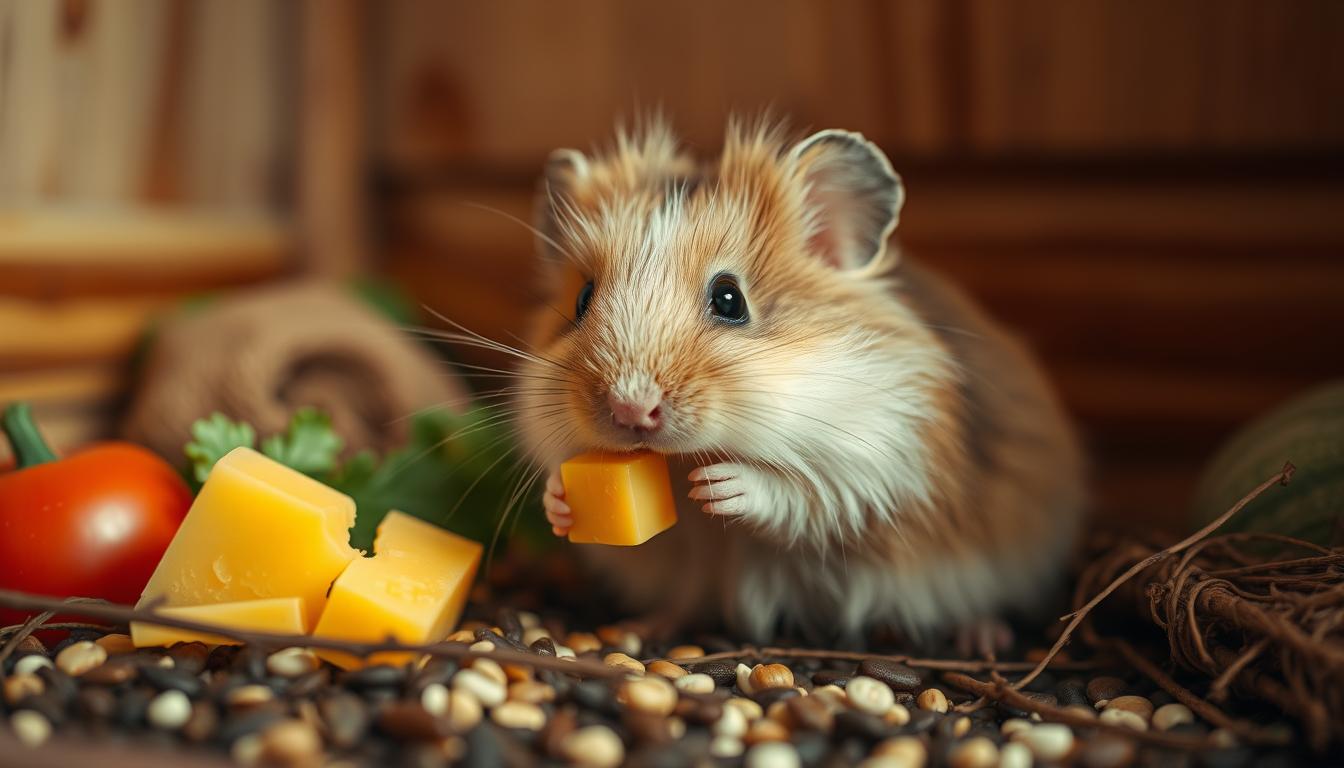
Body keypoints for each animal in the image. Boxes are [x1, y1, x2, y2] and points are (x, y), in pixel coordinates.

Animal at [513, 118, 1085, 650]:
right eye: (583, 299)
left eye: (730, 299)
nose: (631, 409)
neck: (679, 463)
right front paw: (560, 501)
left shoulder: (880, 462)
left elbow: (800, 492)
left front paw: (717, 486)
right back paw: (642, 626)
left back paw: (984, 639)